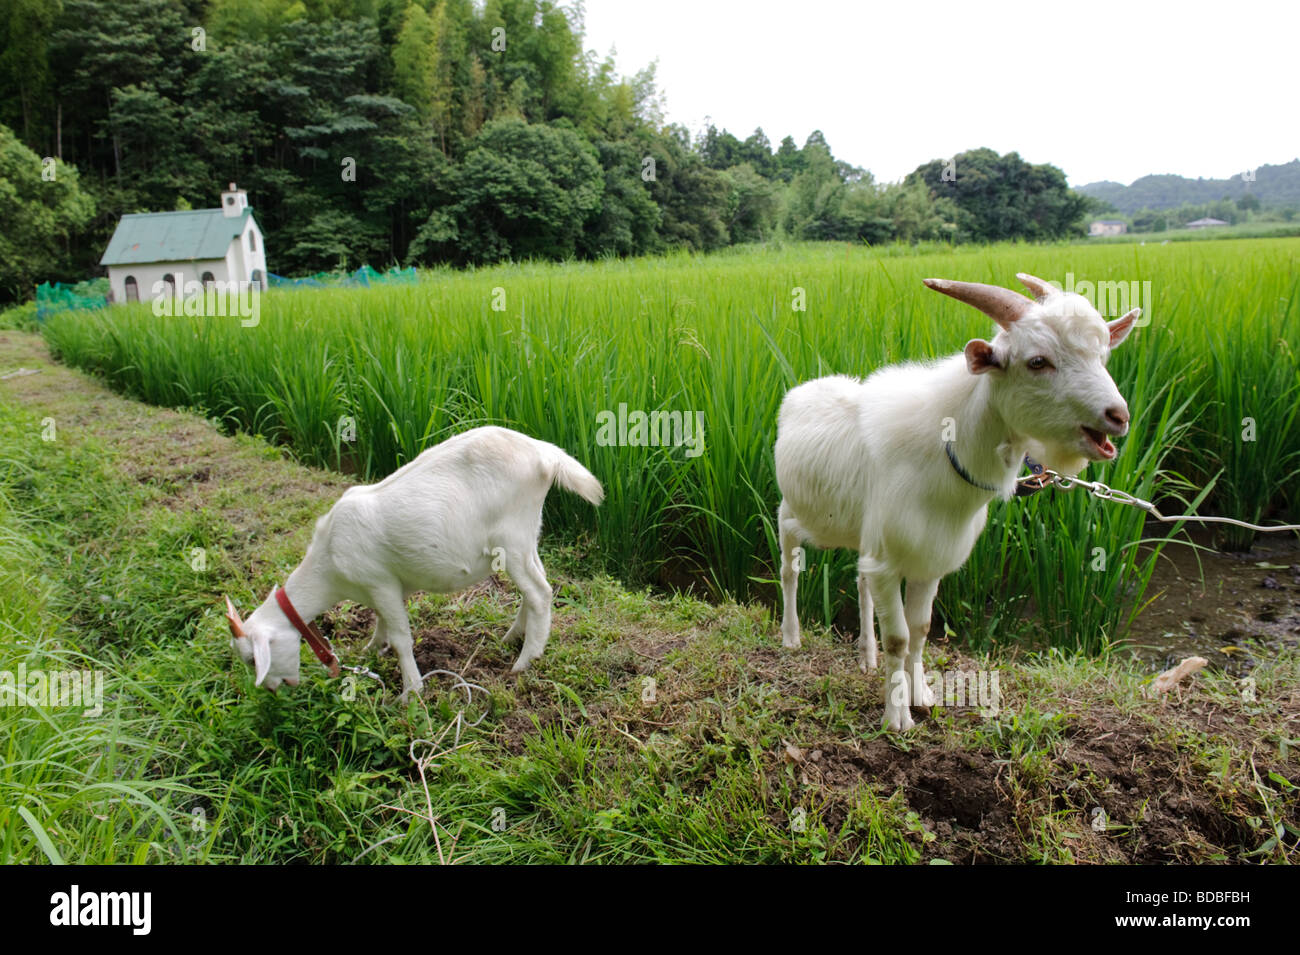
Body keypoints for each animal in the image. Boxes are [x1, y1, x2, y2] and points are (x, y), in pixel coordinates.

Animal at [224, 425, 603, 698]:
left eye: (252, 659)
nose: (275, 689)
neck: (328, 567)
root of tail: (545, 454)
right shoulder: (385, 588)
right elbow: (381, 623)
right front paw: (370, 651)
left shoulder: (379, 581)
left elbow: (401, 637)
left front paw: (410, 692)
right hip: (526, 536)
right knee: (535, 585)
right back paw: (513, 638)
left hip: (511, 537)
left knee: (539, 593)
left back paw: (525, 661)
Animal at [774, 274, 1138, 730]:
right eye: (1037, 362)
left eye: (1103, 355)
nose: (1118, 416)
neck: (942, 448)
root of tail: (806, 389)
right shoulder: (889, 559)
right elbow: (899, 637)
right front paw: (896, 718)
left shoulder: (928, 557)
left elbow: (920, 629)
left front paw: (922, 695)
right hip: (791, 512)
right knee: (790, 569)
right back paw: (791, 636)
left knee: (860, 583)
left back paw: (866, 656)